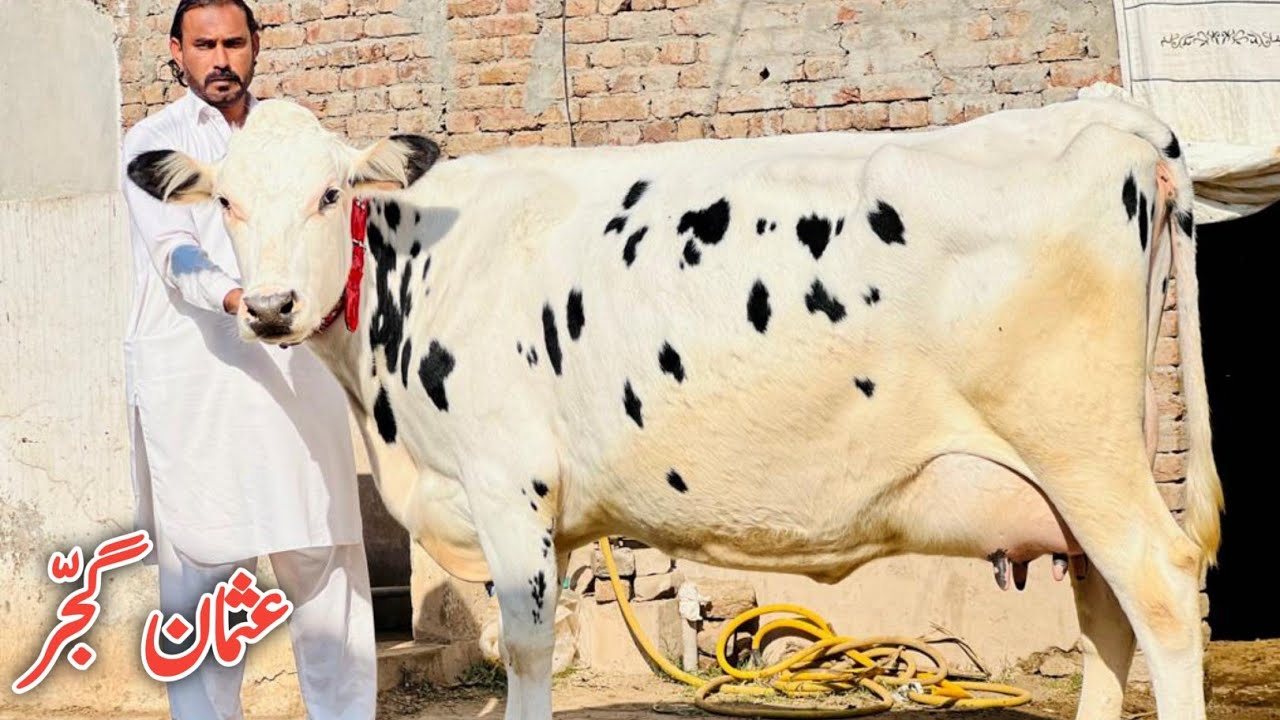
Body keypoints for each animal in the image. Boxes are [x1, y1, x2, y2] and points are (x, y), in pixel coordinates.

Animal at [127, 94, 1222, 720]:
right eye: (224, 201)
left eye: (328, 195)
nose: (269, 306)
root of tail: (1108, 116)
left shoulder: (506, 487)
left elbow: (527, 651)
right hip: (1073, 475)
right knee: (1105, 613)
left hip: (1081, 449)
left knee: (1161, 593)